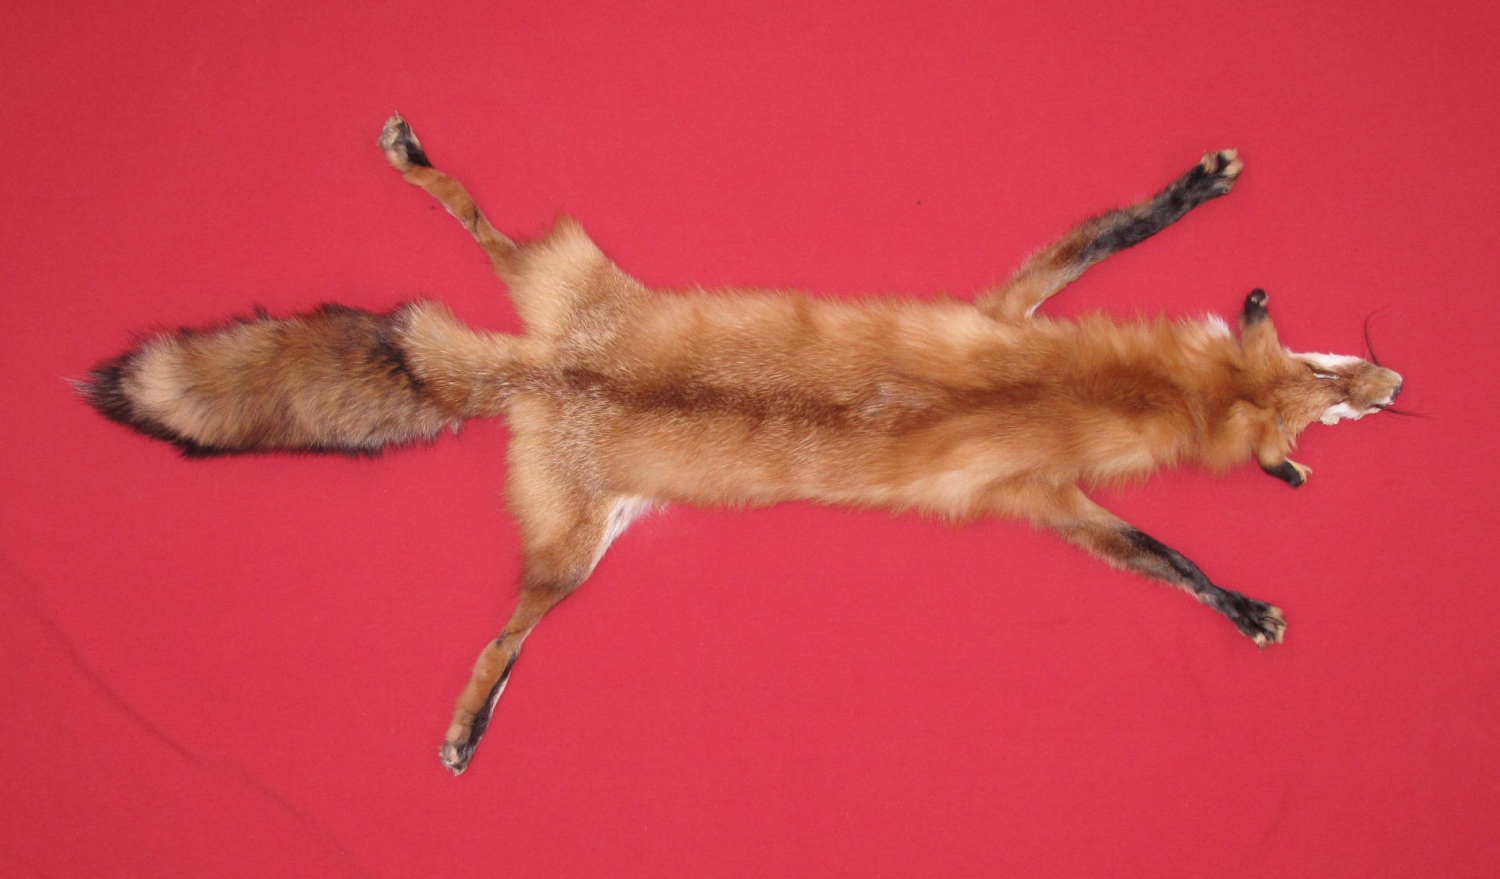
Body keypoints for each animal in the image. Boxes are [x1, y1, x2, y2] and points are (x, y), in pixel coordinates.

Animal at [79, 115, 1404, 774]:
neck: (1106, 383)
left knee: (487, 235)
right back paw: (466, 719)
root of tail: (535, 374)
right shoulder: (1037, 438)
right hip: (573, 550)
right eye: (1328, 396)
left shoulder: (1024, 348)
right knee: (513, 615)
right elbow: (1167, 546)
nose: (1394, 382)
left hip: (567, 347)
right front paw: (1244, 605)